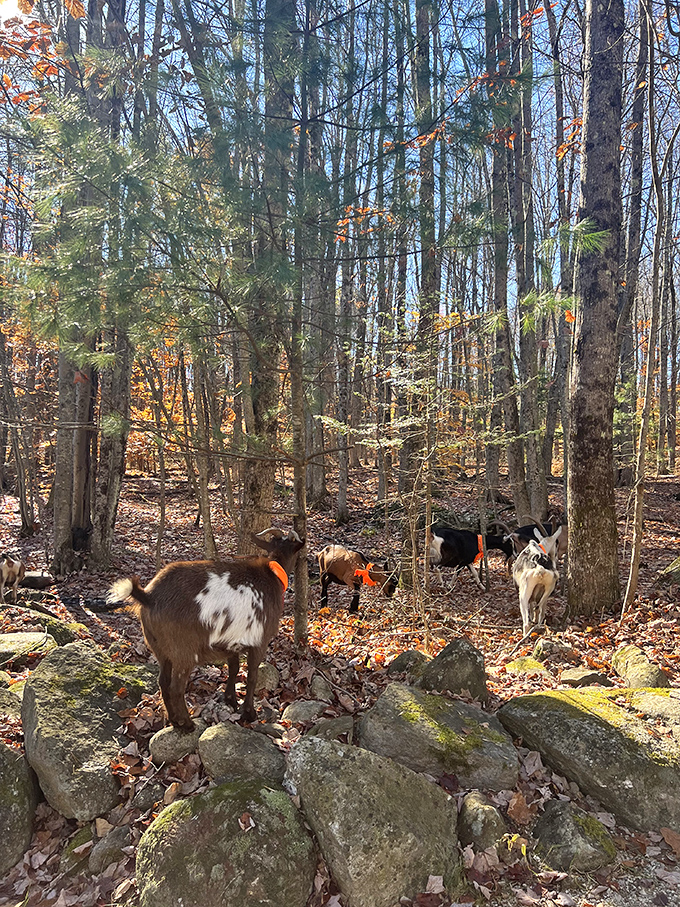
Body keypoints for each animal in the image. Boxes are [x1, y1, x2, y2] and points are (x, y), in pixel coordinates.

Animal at [107, 528, 305, 730]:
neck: (270, 575)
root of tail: (149, 596)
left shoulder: (231, 642)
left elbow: (234, 668)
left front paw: (230, 700)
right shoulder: (260, 642)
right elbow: (252, 676)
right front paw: (249, 713)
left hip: (159, 648)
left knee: (163, 681)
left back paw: (174, 720)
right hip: (183, 652)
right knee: (176, 688)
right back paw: (187, 724)